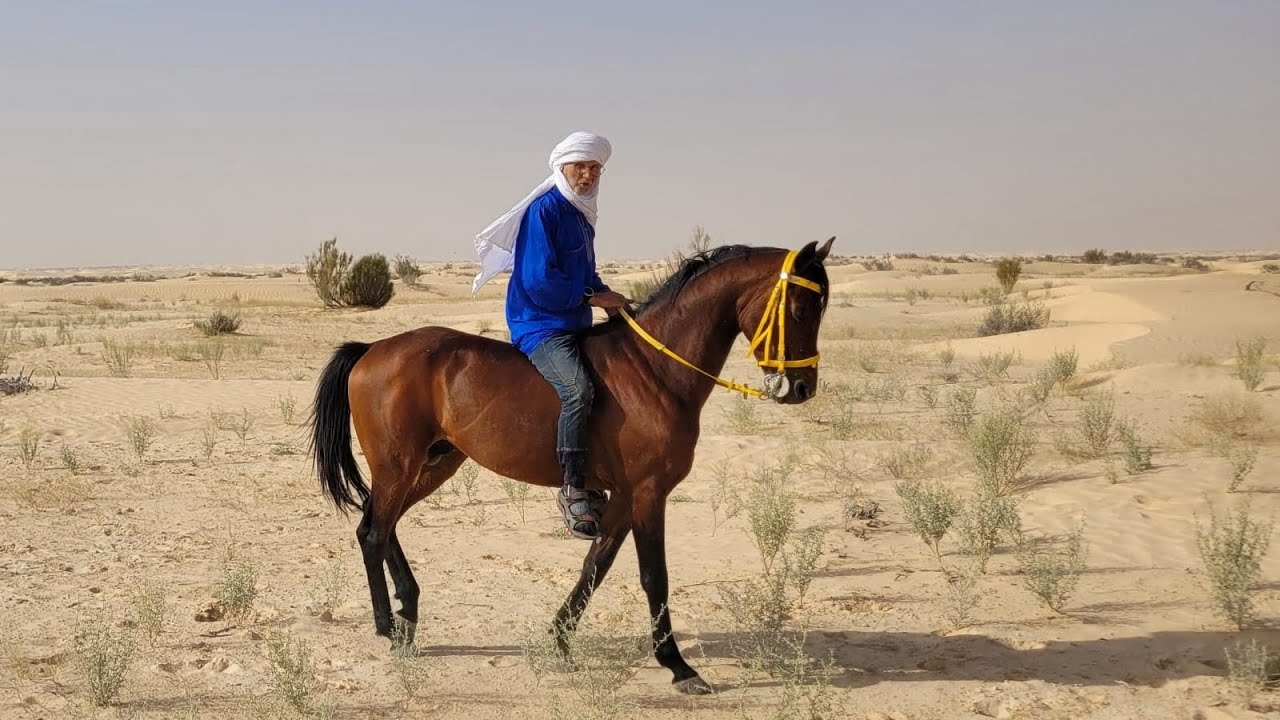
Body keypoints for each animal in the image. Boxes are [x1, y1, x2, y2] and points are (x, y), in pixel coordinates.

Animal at [308, 238, 835, 694]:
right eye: (799, 309)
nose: (801, 388)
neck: (654, 370)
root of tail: (372, 349)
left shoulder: (625, 495)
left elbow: (596, 565)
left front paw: (560, 639)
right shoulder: (649, 493)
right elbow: (654, 577)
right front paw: (677, 666)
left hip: (433, 465)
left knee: (380, 525)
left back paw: (408, 613)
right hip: (400, 466)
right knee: (374, 532)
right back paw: (388, 626)